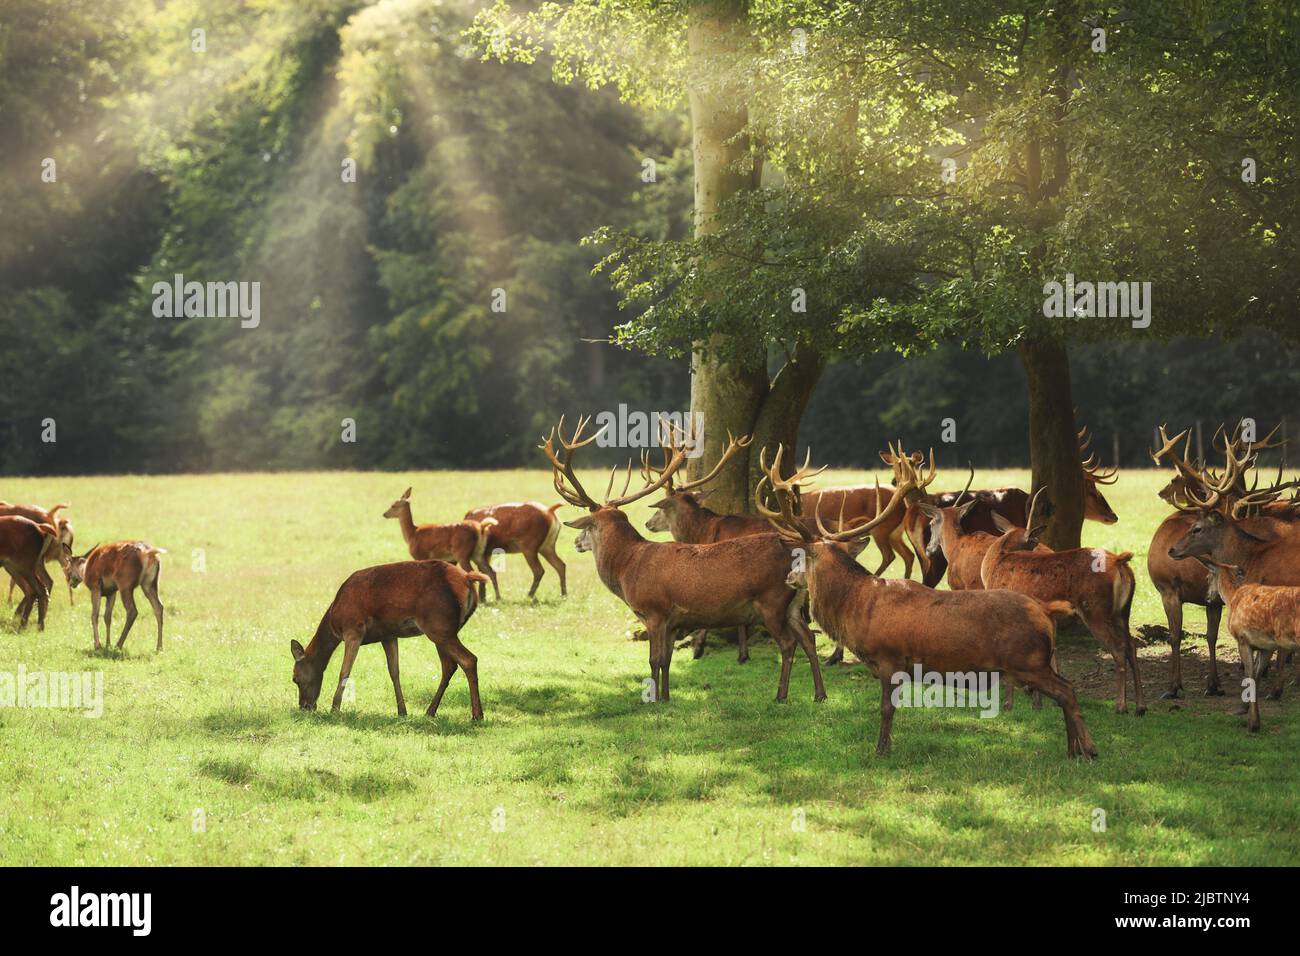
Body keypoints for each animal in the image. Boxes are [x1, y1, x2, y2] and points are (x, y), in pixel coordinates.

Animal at [290, 560, 489, 720]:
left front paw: (334, 709)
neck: (334, 619)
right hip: (445, 630)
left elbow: (344, 671)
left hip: (438, 625)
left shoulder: (353, 629)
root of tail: (468, 579)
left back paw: (477, 715)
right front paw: (402, 711)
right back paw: (430, 711)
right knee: (449, 665)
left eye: (295, 678)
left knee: (469, 659)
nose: (305, 707)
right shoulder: (388, 635)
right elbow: (394, 671)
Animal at [542, 417, 825, 704]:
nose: (576, 543)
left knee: (789, 643)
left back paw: (781, 696)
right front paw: (666, 697)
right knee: (809, 638)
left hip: (771, 601)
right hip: (793, 604)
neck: (627, 569)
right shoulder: (673, 621)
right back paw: (819, 694)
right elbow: (667, 659)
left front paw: (652, 699)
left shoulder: (654, 611)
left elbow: (654, 660)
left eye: (588, 526)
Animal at [756, 445, 1096, 759]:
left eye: (801, 557)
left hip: (1027, 660)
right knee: (1065, 688)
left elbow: (886, 709)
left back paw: (1089, 750)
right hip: (1033, 662)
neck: (857, 607)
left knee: (1067, 690)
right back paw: (1072, 749)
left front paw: (880, 751)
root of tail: (1045, 611)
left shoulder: (890, 656)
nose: (789, 578)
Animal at [980, 488, 1142, 716]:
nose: (1042, 546)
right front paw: (1039, 703)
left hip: (1095, 610)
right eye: (1033, 541)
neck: (994, 567)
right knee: (1132, 645)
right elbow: (1052, 653)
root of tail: (1121, 561)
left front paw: (1009, 704)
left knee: (1119, 648)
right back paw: (1140, 707)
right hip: (1122, 612)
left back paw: (1121, 706)